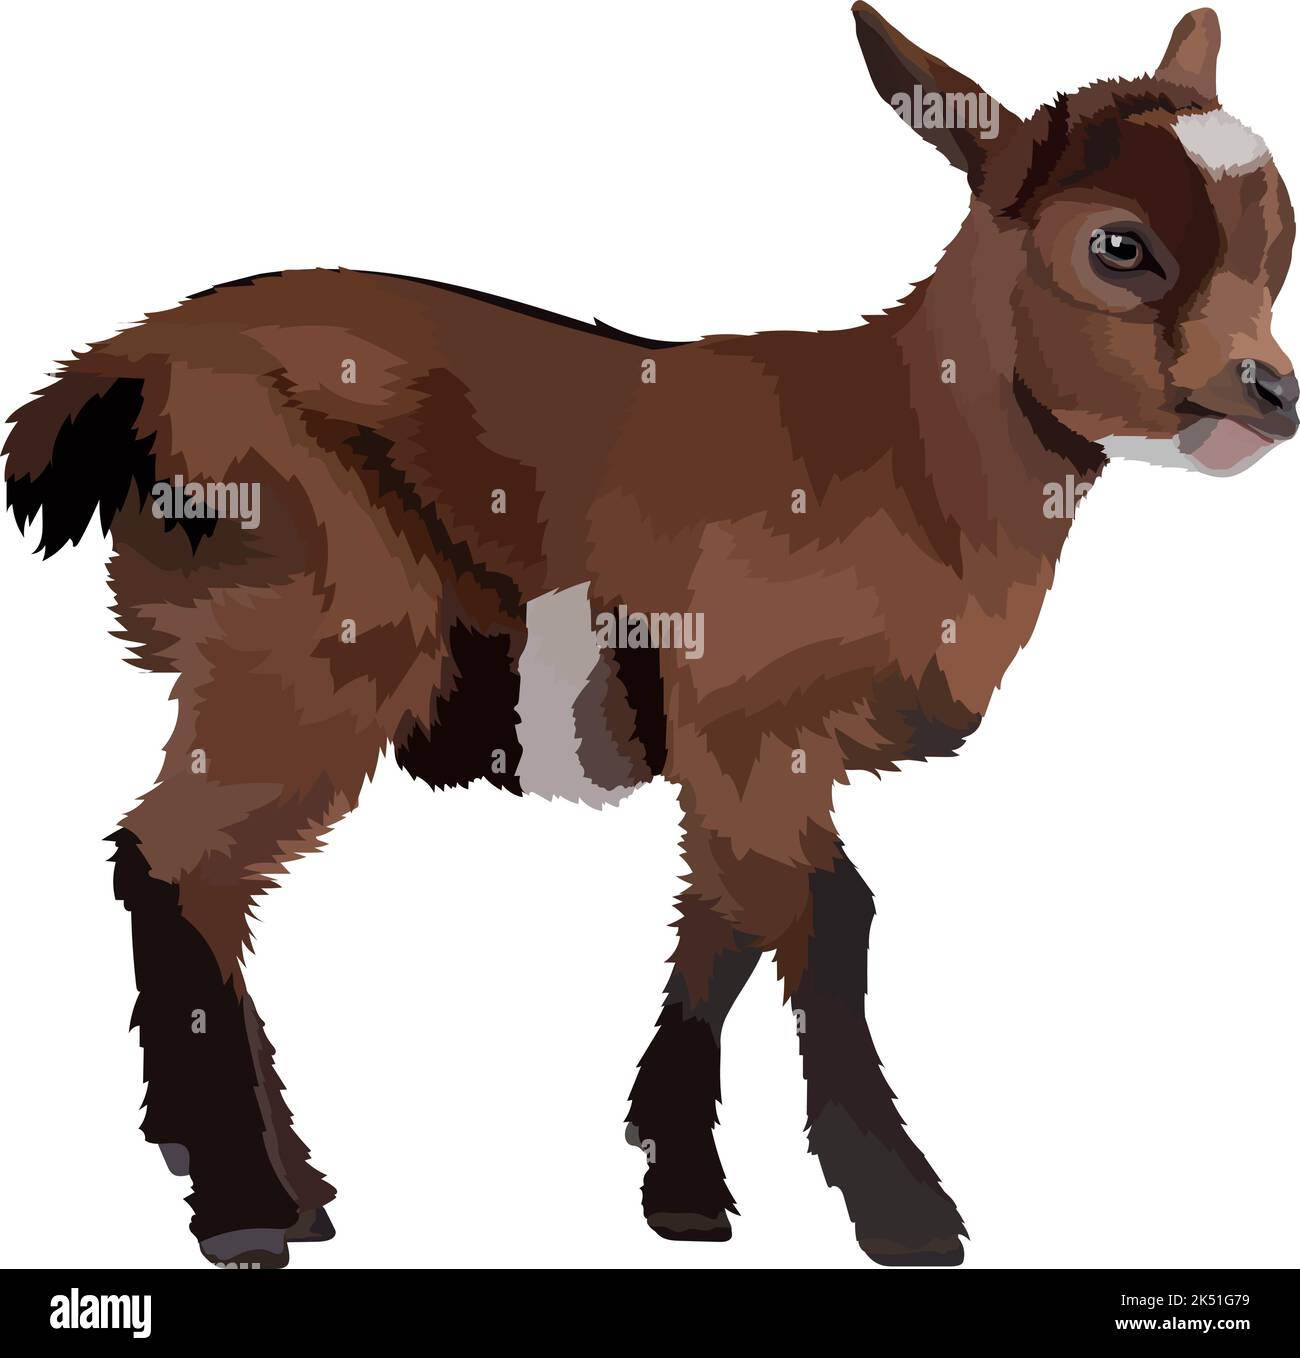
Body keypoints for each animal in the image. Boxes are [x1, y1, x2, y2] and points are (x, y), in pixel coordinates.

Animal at [3, 5, 1293, 1267]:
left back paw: (299, 1190)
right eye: (1119, 246)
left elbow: (718, 924)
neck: (900, 447)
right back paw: (242, 1208)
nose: (1269, 391)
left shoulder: (742, 748)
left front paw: (681, 1189)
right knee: (175, 859)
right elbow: (832, 919)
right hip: (313, 641)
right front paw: (905, 1212)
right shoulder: (752, 720)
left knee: (202, 877)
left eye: (1277, 235)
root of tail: (114, 369)